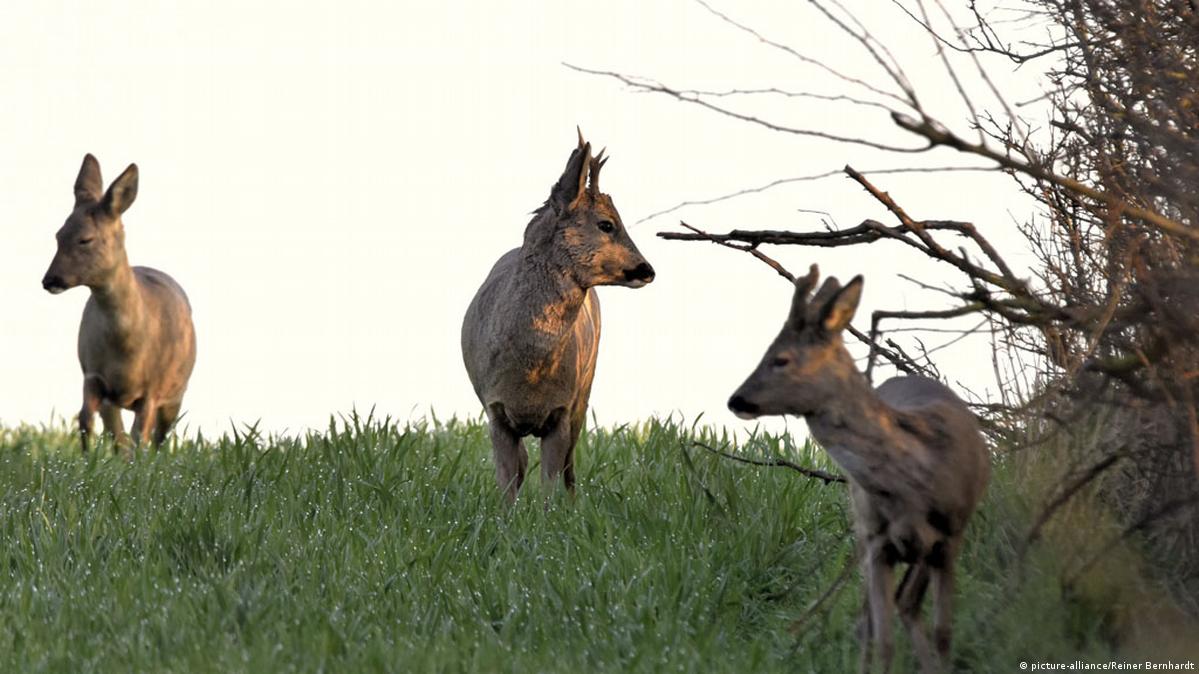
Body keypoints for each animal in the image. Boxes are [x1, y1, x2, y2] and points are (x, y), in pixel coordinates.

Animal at [42, 154, 197, 456]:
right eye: (58, 235)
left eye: (85, 239)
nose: (50, 280)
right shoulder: (93, 375)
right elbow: (85, 420)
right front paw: (87, 459)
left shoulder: (153, 387)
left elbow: (141, 438)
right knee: (120, 437)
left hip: (177, 391)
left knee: (158, 437)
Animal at [462, 130, 655, 502]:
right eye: (607, 224)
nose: (648, 269)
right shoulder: (495, 408)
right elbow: (508, 482)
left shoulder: (562, 410)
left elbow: (550, 486)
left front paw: (553, 514)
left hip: (586, 386)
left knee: (570, 465)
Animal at [727, 265, 989, 673]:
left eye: (781, 359)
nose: (736, 400)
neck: (914, 484)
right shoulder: (877, 542)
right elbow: (882, 641)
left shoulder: (950, 536)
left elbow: (944, 633)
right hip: (866, 535)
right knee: (876, 618)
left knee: (906, 602)